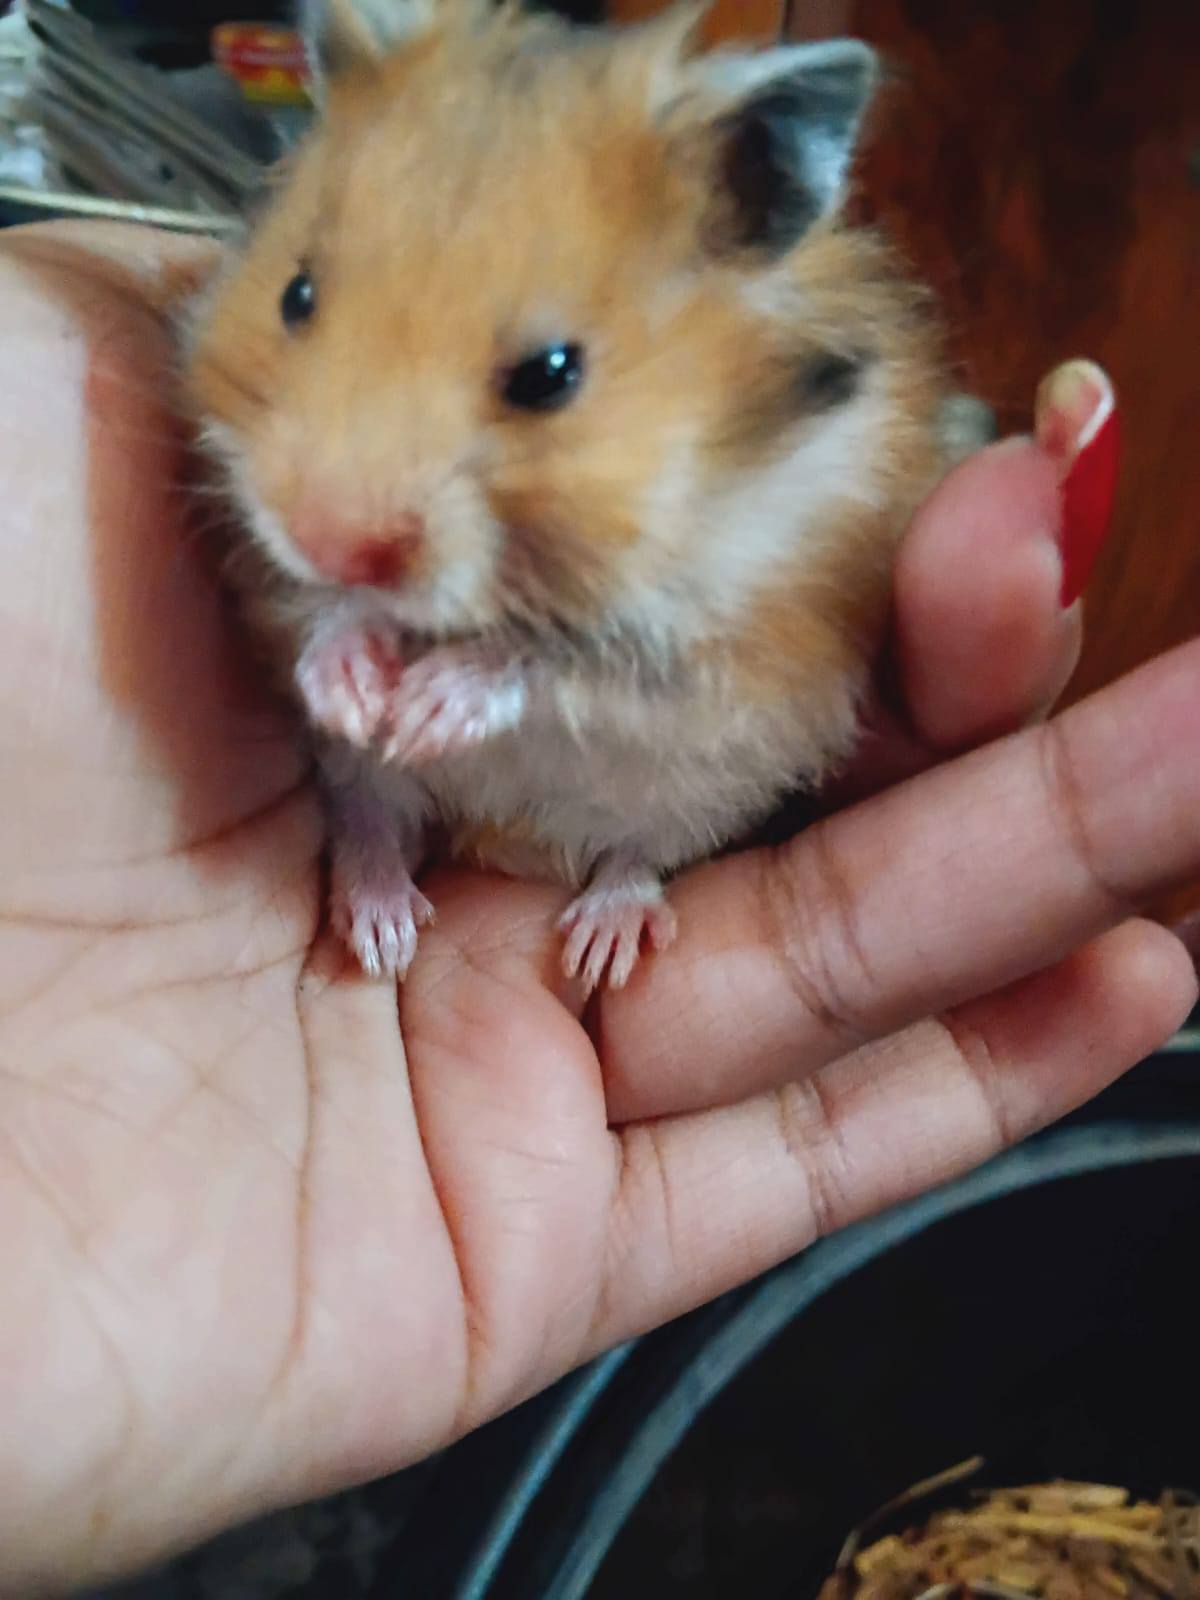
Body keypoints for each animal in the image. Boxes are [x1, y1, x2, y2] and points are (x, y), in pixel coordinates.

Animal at [184, 0, 966, 992]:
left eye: (551, 374)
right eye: (296, 294)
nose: (328, 538)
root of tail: (507, 841)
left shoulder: (735, 639)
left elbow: (566, 656)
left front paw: (430, 706)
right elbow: (316, 609)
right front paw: (356, 689)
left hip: (705, 793)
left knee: (635, 853)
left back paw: (601, 942)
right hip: (364, 779)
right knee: (372, 818)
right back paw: (383, 927)